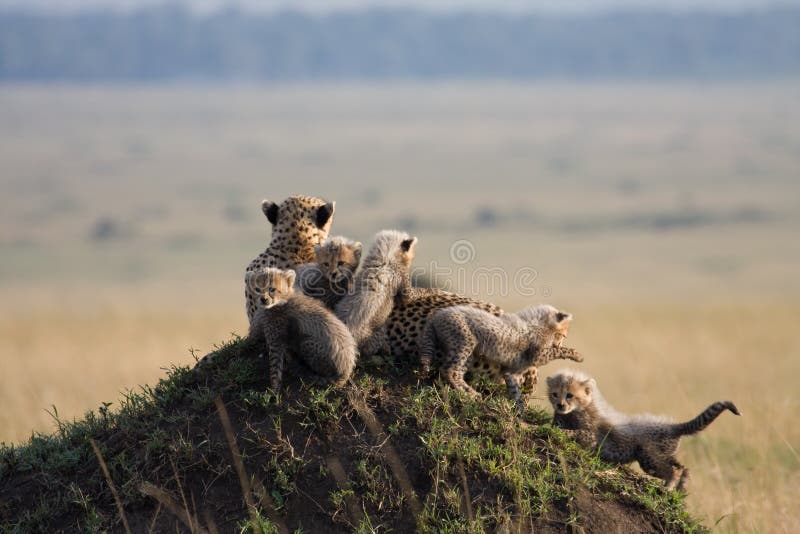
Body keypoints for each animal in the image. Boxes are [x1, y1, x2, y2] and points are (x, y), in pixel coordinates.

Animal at [419, 304, 583, 409]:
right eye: (563, 335)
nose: (559, 344)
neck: (538, 324)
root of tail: (438, 314)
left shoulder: (512, 373)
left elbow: (515, 391)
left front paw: (518, 409)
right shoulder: (539, 354)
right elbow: (555, 353)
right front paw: (576, 355)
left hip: (467, 352)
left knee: (454, 371)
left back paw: (467, 391)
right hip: (465, 342)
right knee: (450, 370)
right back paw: (470, 394)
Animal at [547, 369, 740, 491]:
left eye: (570, 395)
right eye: (555, 394)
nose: (560, 405)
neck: (574, 412)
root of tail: (672, 426)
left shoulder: (591, 437)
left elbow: (573, 432)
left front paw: (557, 432)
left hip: (649, 457)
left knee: (674, 469)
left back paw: (670, 487)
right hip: (663, 454)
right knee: (683, 467)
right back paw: (682, 488)